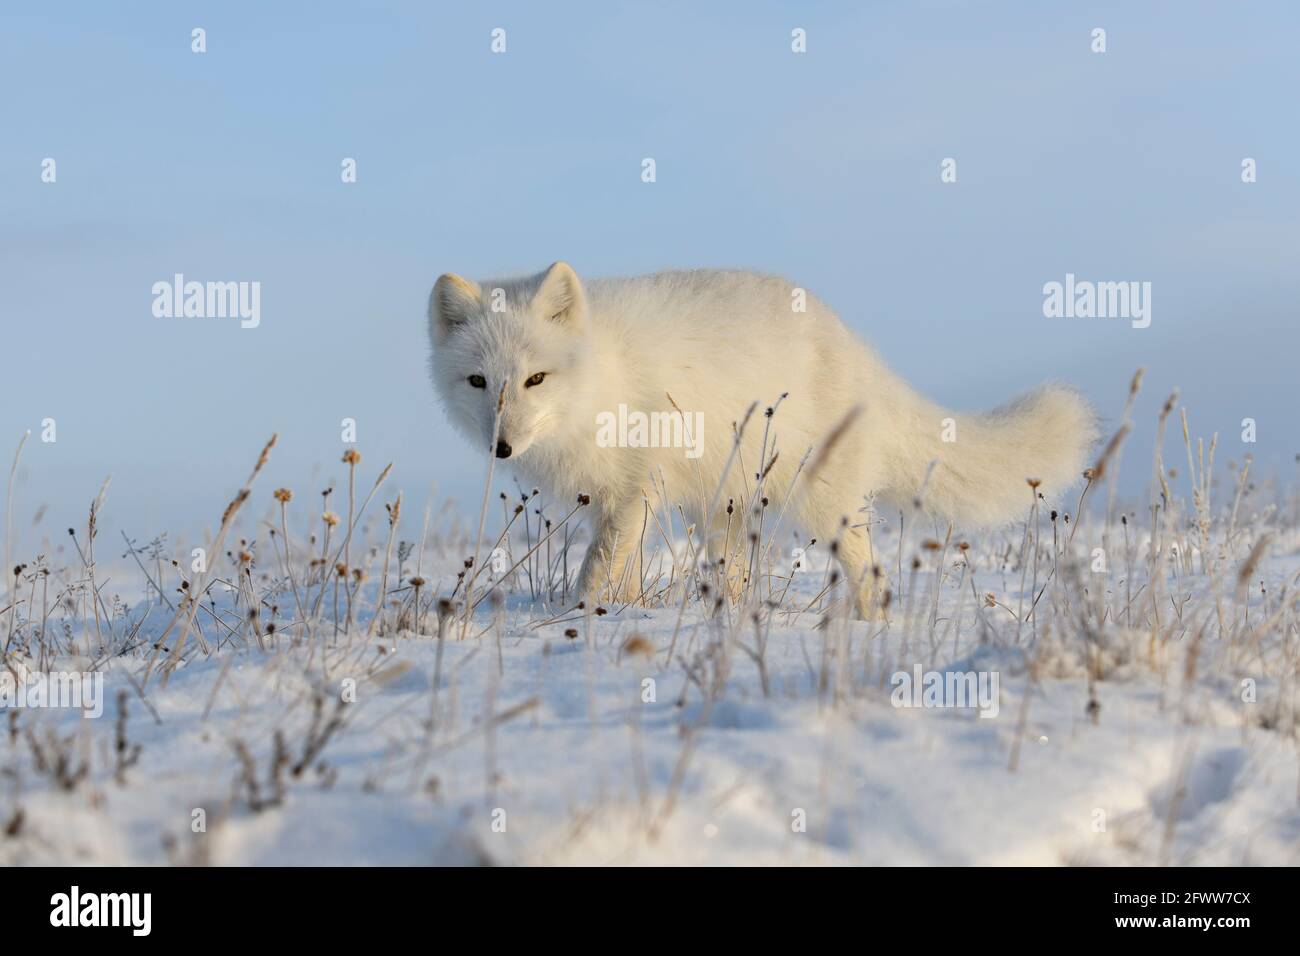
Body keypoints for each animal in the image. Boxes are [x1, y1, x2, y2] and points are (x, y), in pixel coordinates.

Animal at [428, 262, 1097, 616]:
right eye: (479, 381)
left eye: (536, 379)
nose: (501, 447)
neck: (602, 377)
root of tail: (856, 346)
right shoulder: (622, 499)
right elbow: (623, 567)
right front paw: (623, 612)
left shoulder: (636, 488)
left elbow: (598, 567)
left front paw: (579, 616)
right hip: (722, 506)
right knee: (737, 571)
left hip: (823, 500)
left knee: (866, 566)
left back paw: (868, 621)